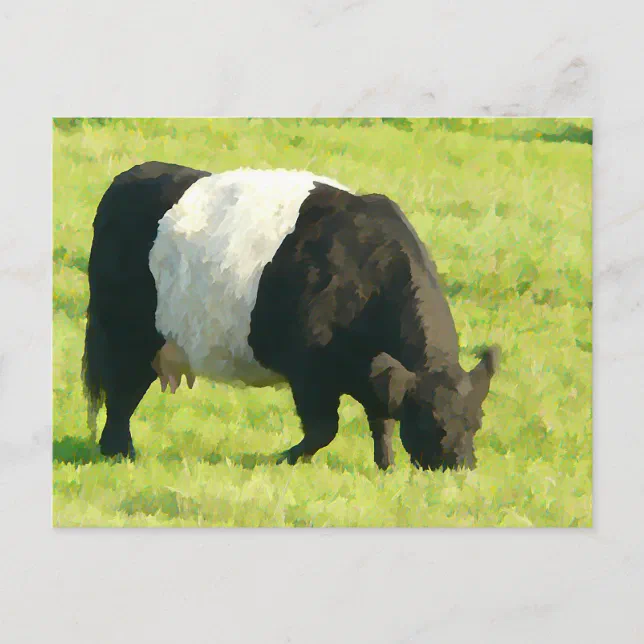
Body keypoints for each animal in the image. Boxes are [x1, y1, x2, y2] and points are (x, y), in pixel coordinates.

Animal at [82, 161, 499, 470]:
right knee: (119, 393)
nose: (460, 467)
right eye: (432, 423)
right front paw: (282, 458)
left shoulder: (371, 371)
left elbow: (382, 420)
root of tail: (129, 176)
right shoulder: (309, 370)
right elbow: (324, 430)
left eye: (477, 422)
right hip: (124, 332)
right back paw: (119, 452)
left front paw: (386, 466)